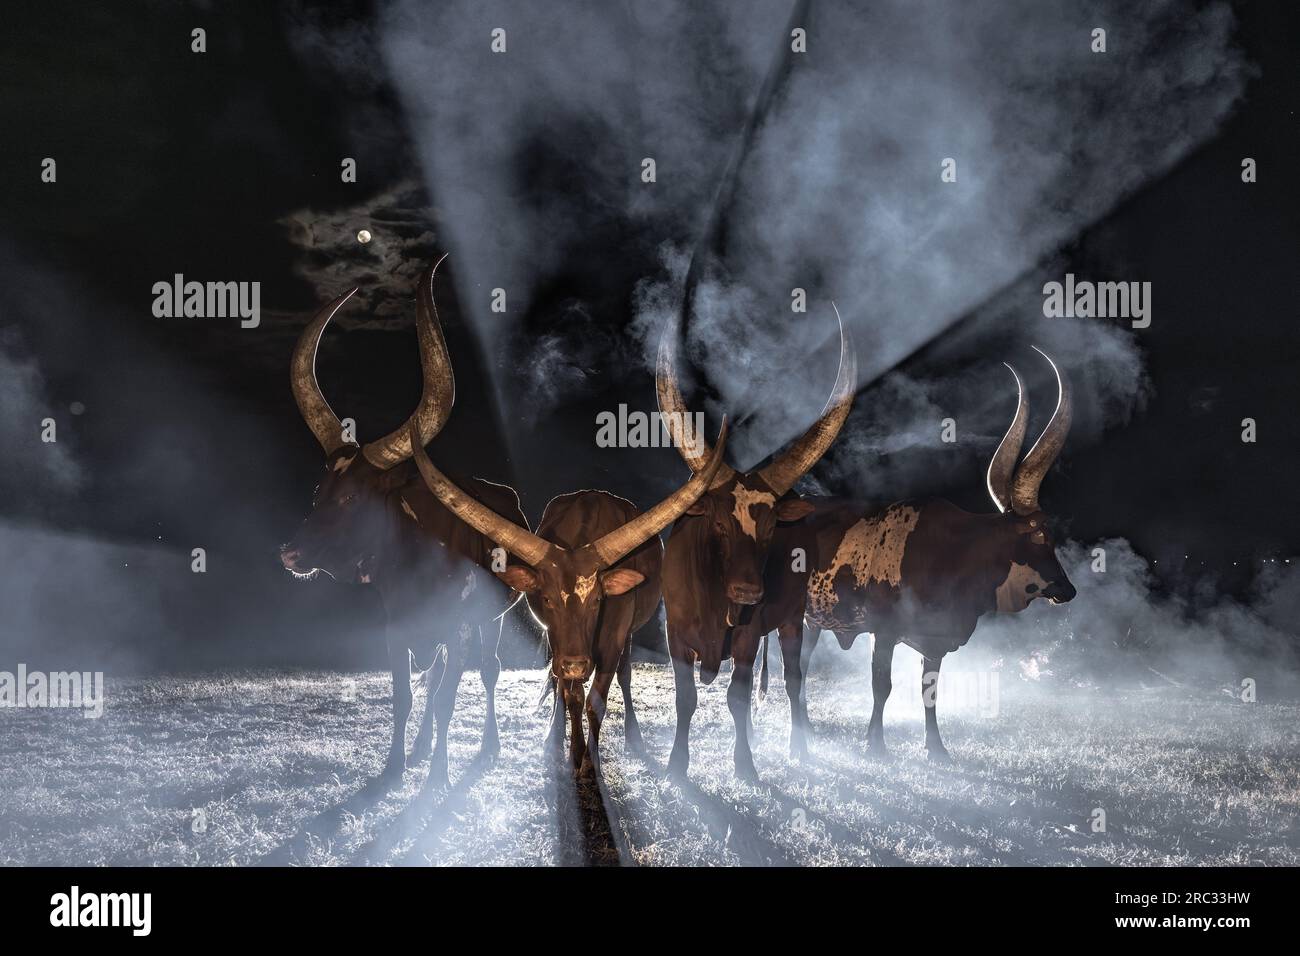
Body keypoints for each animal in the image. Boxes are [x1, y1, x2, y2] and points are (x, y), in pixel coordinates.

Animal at [279, 256, 528, 789]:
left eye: (352, 497)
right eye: (319, 493)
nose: (289, 552)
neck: (418, 563)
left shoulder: (458, 628)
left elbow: (450, 697)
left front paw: (438, 780)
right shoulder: (397, 628)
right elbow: (407, 696)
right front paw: (395, 767)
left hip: (491, 621)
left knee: (490, 670)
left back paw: (486, 748)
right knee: (432, 682)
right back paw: (420, 750)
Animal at [410, 419, 730, 774]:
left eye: (598, 600)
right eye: (547, 599)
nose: (576, 664)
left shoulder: (611, 639)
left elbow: (596, 701)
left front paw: (589, 760)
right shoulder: (557, 639)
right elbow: (568, 695)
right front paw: (564, 746)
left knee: (625, 675)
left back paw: (632, 734)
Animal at [655, 305, 856, 780]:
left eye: (769, 528)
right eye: (718, 524)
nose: (748, 591)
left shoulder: (750, 634)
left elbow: (738, 694)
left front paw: (744, 764)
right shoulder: (675, 635)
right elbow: (686, 698)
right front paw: (676, 766)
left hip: (793, 619)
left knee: (793, 678)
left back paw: (799, 746)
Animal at [755, 347, 1077, 762]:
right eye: (1040, 533)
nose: (1068, 590)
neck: (953, 554)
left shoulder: (933, 638)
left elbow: (930, 690)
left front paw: (935, 748)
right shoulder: (884, 631)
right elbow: (882, 686)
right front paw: (876, 744)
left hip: (813, 620)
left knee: (803, 666)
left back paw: (806, 728)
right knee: (785, 672)